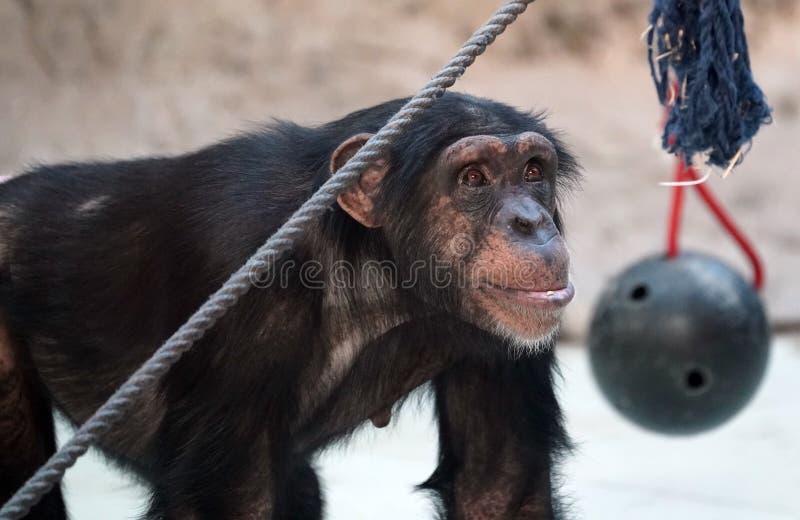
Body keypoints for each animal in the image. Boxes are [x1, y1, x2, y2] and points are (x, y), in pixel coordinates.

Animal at [0, 92, 580, 519]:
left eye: (532, 171)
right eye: (474, 178)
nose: (530, 221)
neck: (371, 263)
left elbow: (498, 487)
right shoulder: (237, 268)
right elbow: (234, 498)